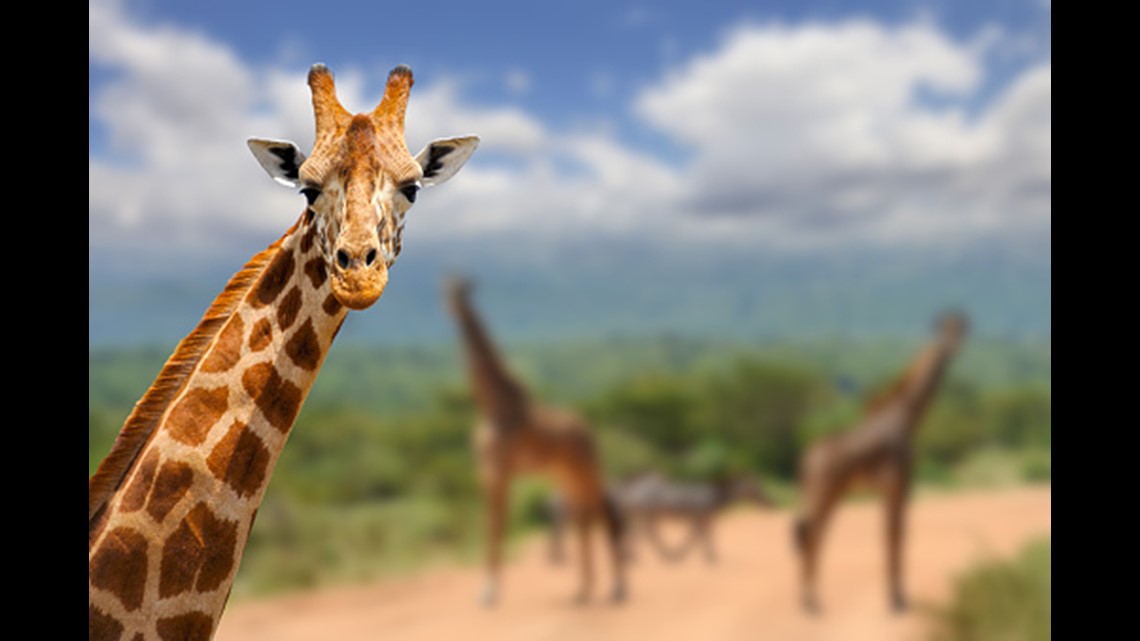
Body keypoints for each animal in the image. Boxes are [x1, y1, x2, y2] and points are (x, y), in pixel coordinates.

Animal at [443, 275, 628, 606]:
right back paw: (583, 591)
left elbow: (496, 527)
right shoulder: (486, 473)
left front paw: (489, 592)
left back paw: (617, 590)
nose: (452, 308)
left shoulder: (500, 472)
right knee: (583, 519)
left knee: (605, 515)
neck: (493, 406)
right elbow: (492, 527)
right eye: (446, 290)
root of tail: (588, 429)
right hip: (566, 477)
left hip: (586, 471)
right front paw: (487, 590)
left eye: (463, 293)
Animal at [792, 310, 968, 615]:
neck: (906, 416)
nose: (951, 347)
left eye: (960, 328)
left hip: (827, 494)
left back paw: (809, 600)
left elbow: (898, 534)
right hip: (823, 493)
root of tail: (806, 459)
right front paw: (896, 601)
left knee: (808, 534)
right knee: (812, 535)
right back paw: (811, 603)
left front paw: (899, 597)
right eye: (943, 329)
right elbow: (893, 535)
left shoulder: (902, 485)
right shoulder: (897, 481)